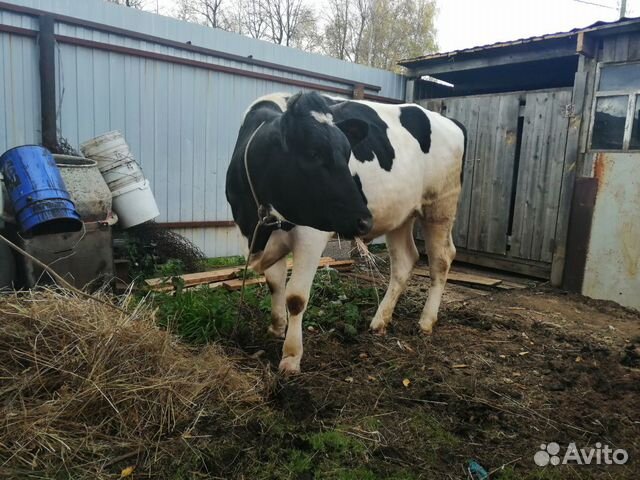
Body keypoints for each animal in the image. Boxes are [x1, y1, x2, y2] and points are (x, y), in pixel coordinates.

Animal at [226, 91, 465, 373]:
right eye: (313, 152)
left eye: (347, 152)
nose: (364, 220)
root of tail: (449, 121)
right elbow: (275, 283)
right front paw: (276, 328)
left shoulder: (310, 235)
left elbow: (295, 297)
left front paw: (291, 357)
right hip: (400, 213)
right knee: (405, 260)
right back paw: (380, 320)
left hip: (440, 206)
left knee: (441, 259)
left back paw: (426, 321)